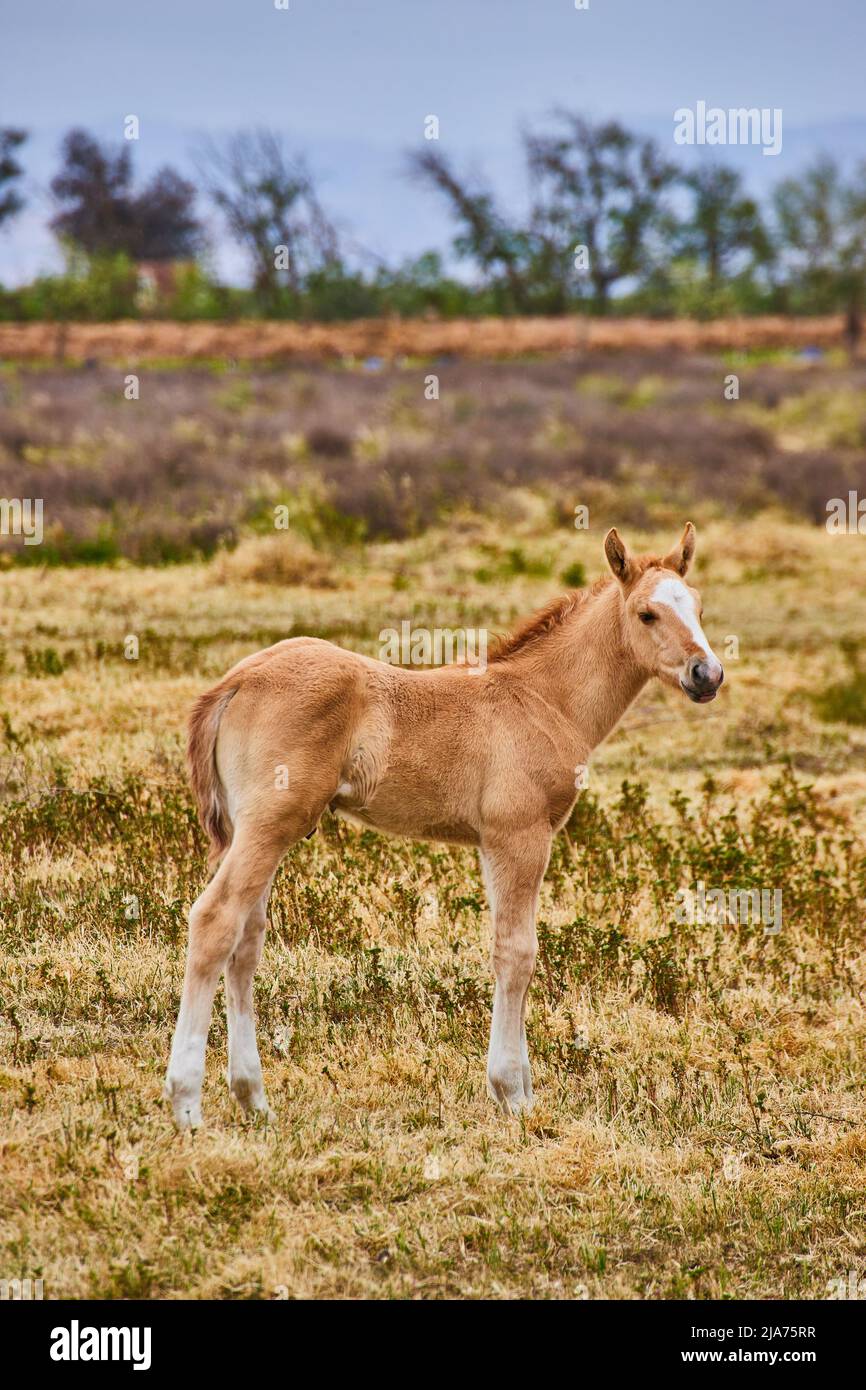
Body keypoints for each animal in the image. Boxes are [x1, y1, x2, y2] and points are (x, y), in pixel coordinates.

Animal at [165, 523, 723, 1126]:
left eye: (697, 607)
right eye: (647, 613)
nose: (707, 674)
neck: (543, 700)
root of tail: (234, 681)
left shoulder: (492, 843)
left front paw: (520, 1089)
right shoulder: (519, 836)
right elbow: (517, 952)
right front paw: (513, 1092)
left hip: (258, 830)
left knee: (246, 942)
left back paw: (253, 1098)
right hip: (269, 826)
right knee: (214, 921)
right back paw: (187, 1102)